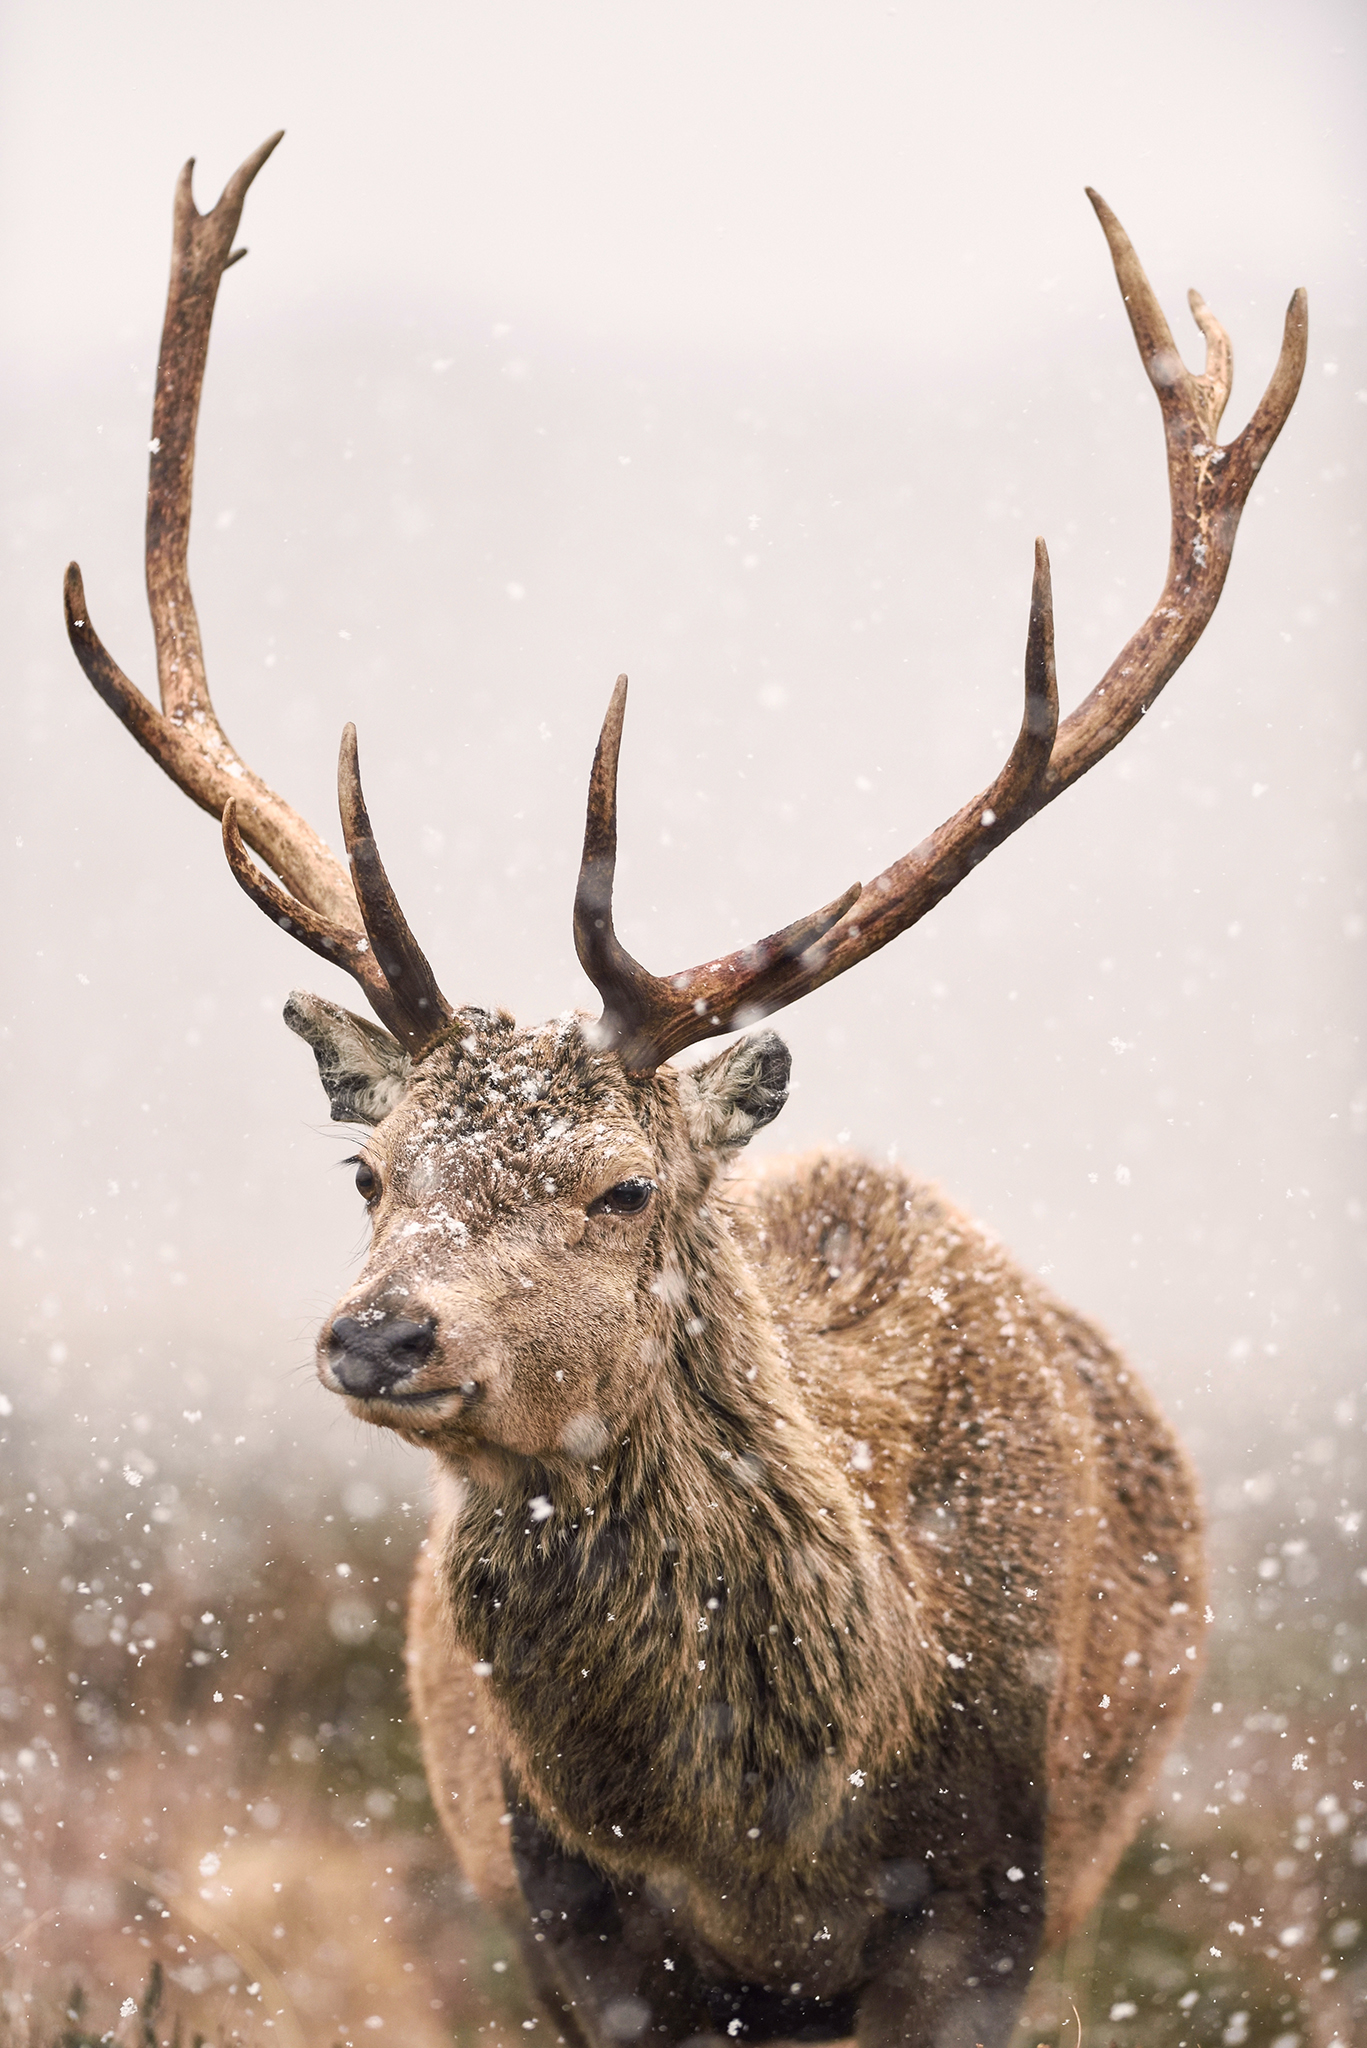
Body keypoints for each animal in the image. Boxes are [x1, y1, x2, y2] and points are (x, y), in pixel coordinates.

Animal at [64, 134, 1305, 2048]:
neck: (773, 1846)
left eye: (621, 1188)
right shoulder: (566, 1914)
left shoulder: (995, 1904)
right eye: (367, 1170)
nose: (379, 1333)